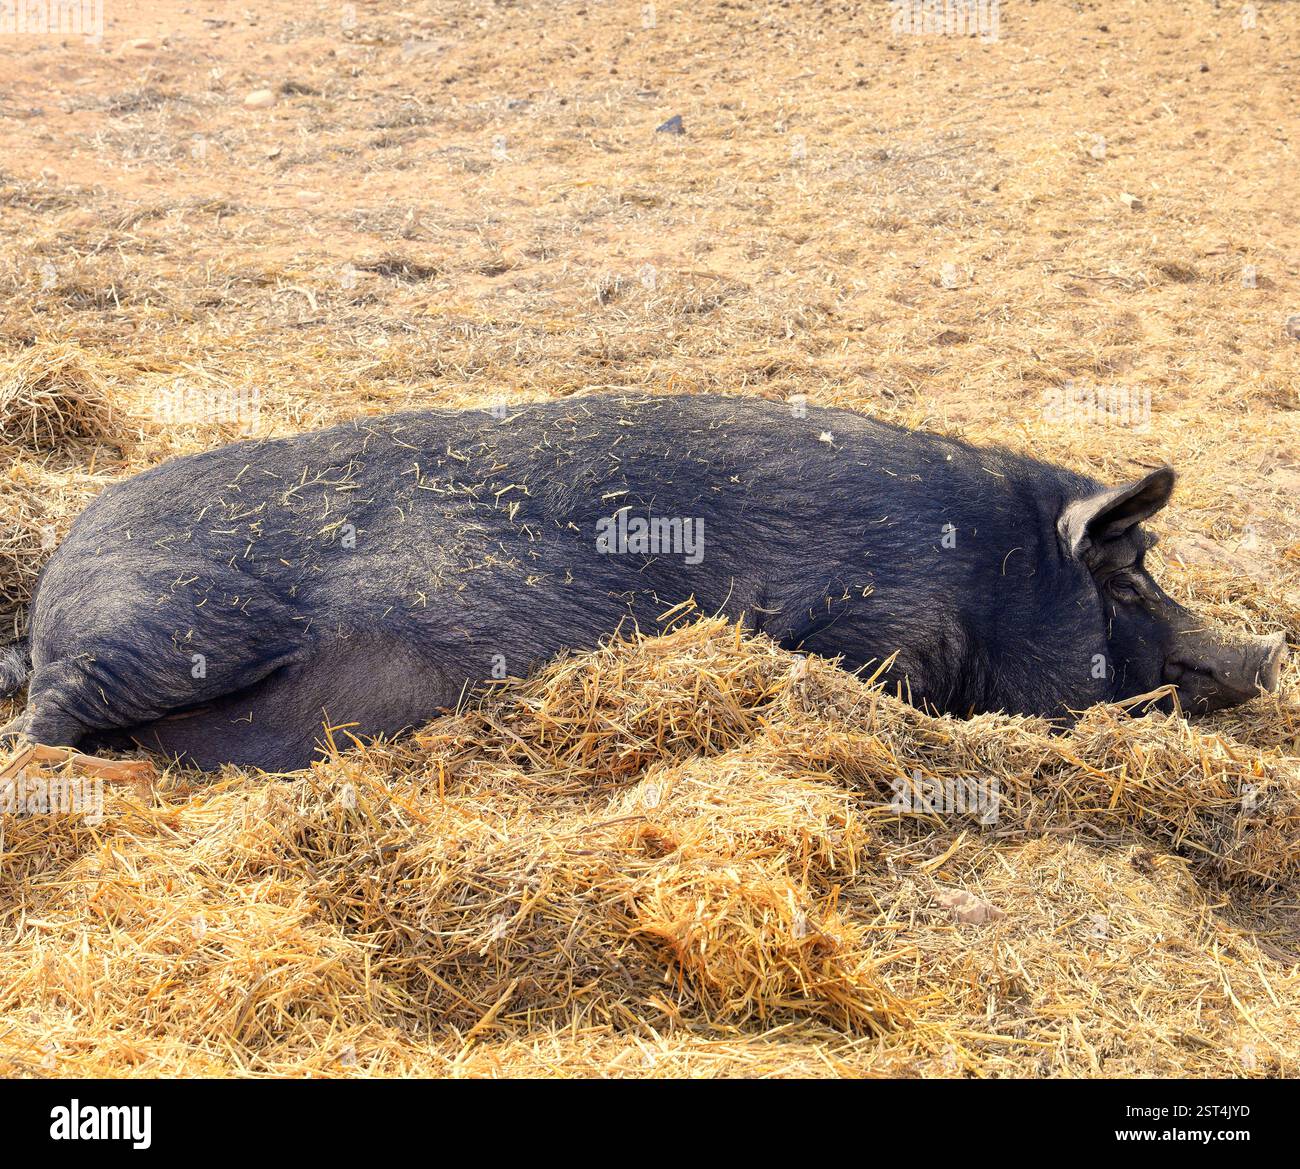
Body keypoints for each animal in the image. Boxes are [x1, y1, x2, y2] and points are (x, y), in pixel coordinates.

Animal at [0, 393, 1286, 771]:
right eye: (1131, 582)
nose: (1264, 659)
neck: (993, 571)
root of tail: (55, 581)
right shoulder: (867, 618)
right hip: (174, 621)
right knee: (46, 726)